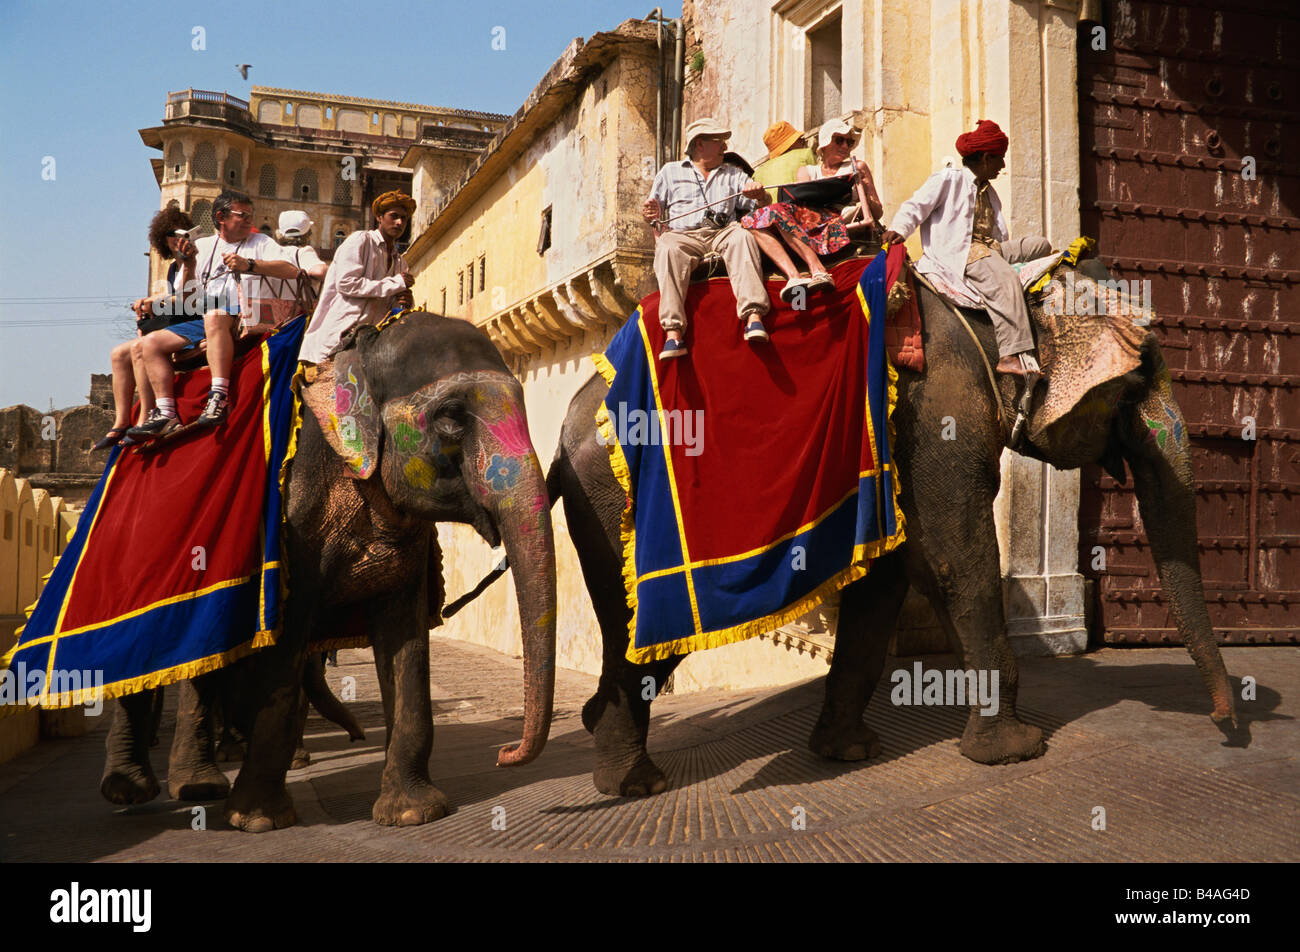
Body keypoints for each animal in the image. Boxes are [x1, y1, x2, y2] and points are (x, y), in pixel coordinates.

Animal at [99, 311, 557, 830]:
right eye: (451, 416)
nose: (505, 753)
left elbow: (407, 641)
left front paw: (413, 813)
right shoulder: (293, 520)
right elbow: (285, 649)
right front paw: (257, 821)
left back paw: (196, 786)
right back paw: (131, 790)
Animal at [549, 259, 1236, 797]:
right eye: (1136, 383)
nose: (1225, 725)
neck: (989, 305)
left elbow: (883, 581)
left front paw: (848, 752)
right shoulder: (939, 415)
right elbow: (953, 560)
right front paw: (1014, 751)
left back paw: (605, 742)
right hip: (617, 505)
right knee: (640, 634)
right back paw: (632, 782)